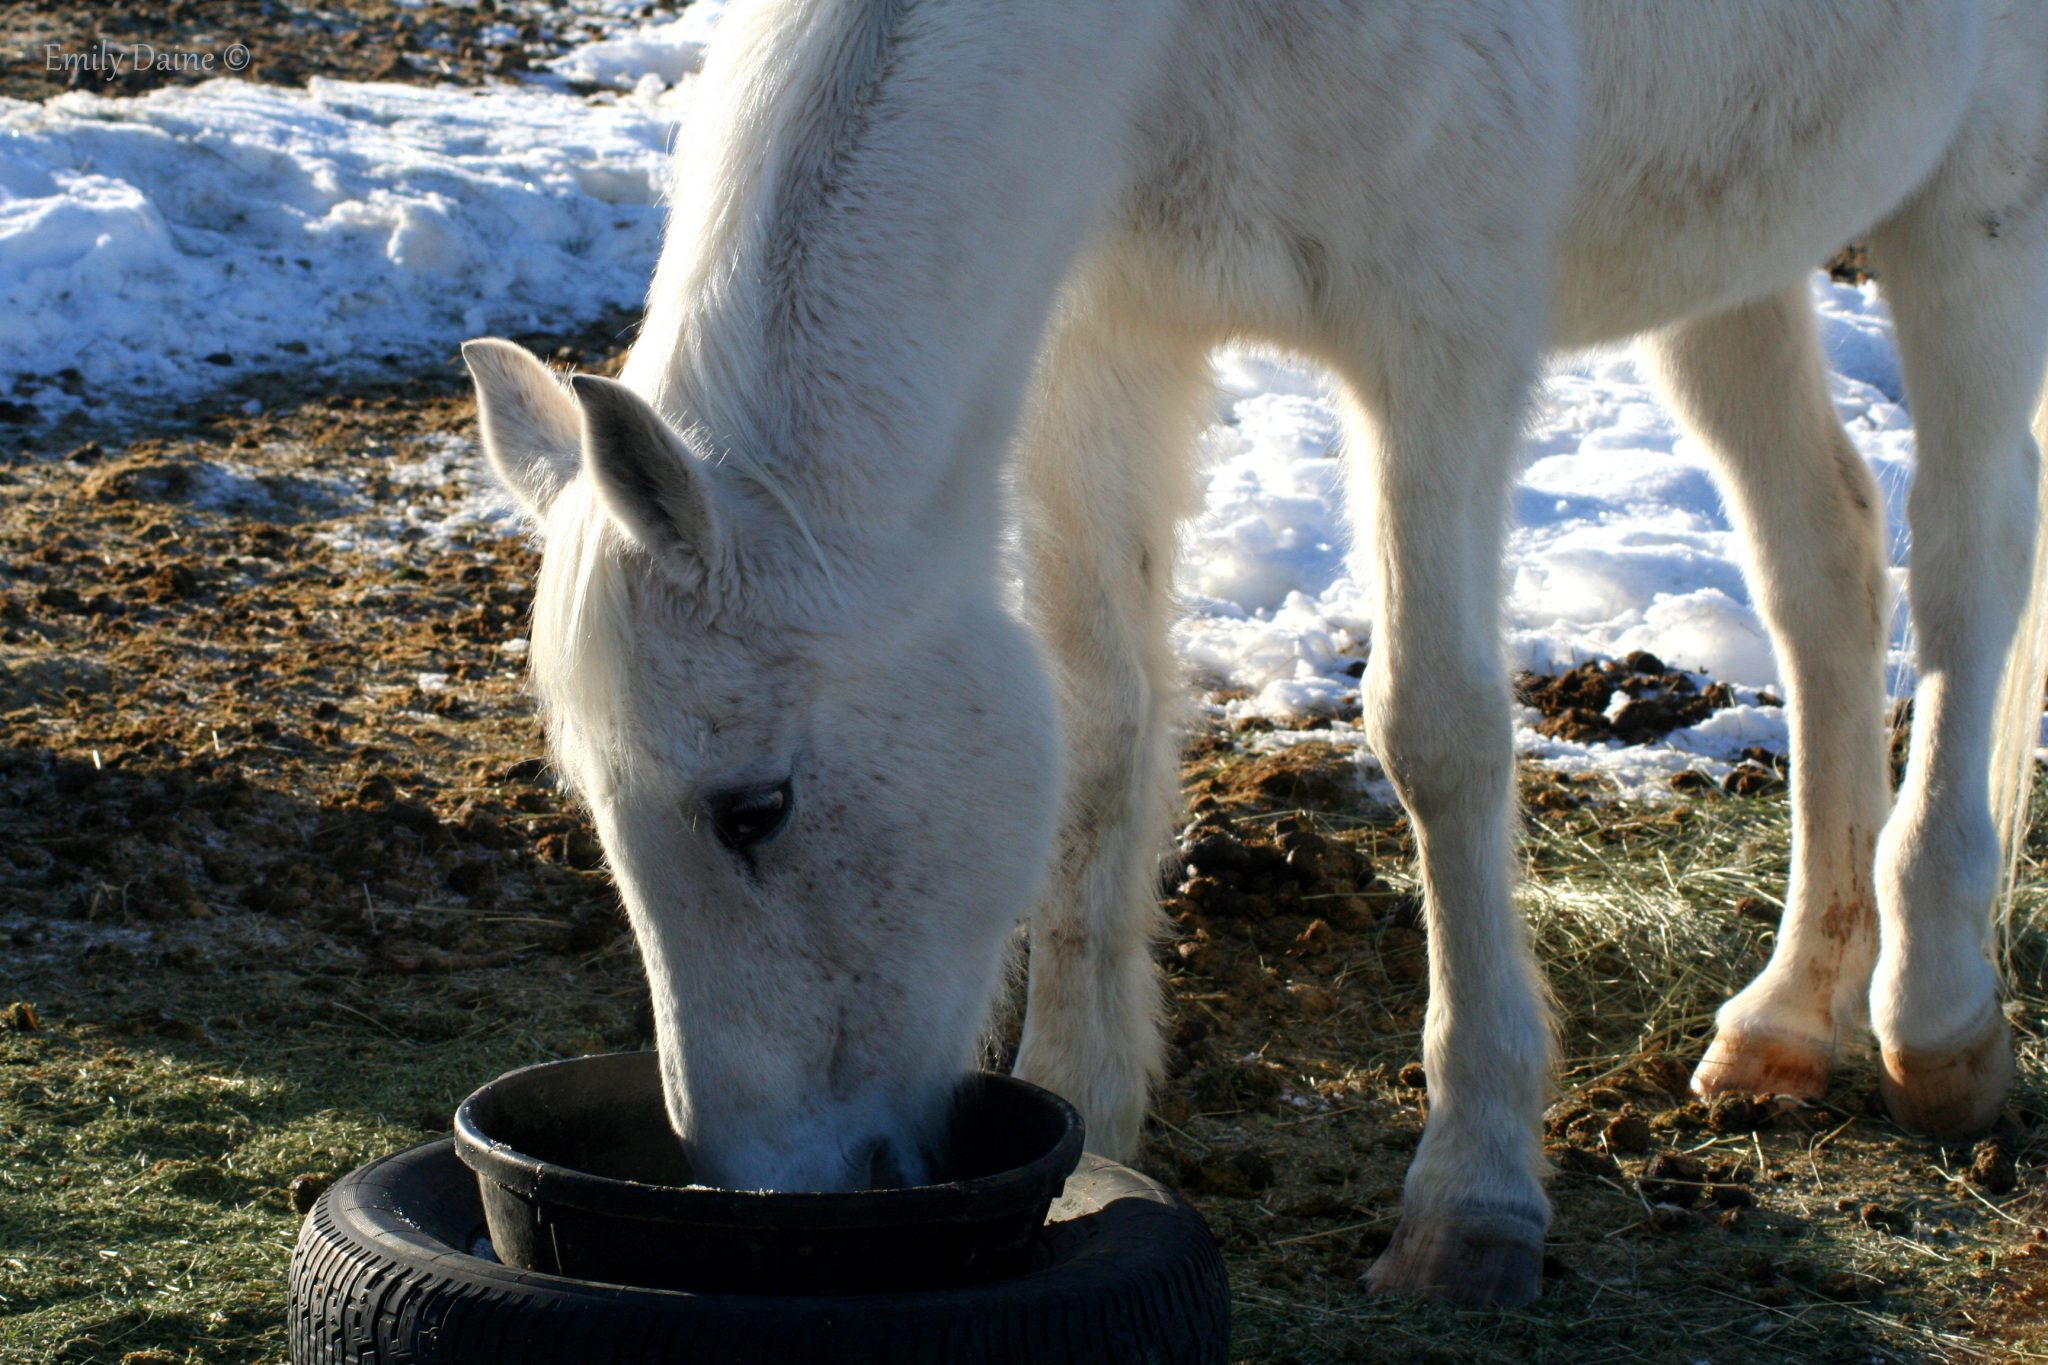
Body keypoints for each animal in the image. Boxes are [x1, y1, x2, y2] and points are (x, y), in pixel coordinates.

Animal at [462, 0, 2048, 1307]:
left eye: (756, 810)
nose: (777, 1188)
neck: (1169, 39)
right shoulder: (1105, 336)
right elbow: (1099, 722)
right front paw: (1082, 1117)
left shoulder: (1439, 345)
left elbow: (1436, 731)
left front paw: (1473, 1195)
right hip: (1737, 242)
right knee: (1824, 560)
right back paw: (1788, 1019)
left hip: (1974, 199)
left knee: (1970, 565)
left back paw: (1936, 1017)